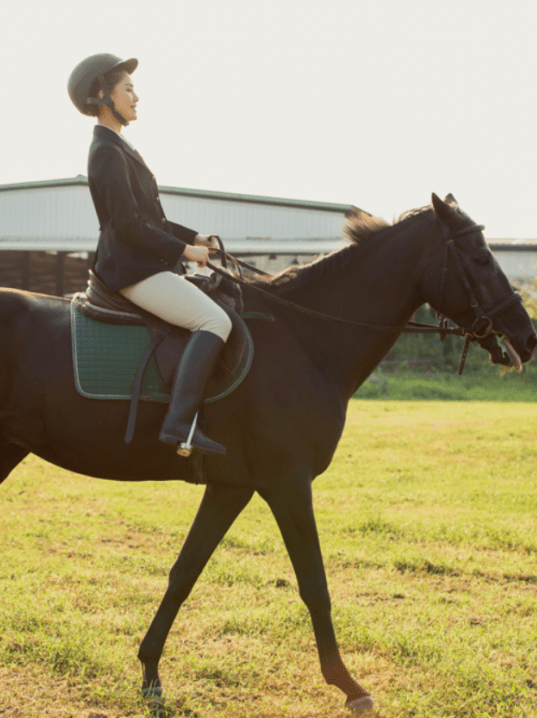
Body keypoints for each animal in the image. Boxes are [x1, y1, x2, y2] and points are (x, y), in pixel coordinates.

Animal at [0, 193, 535, 714]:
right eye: (480, 257)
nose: (527, 337)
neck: (305, 338)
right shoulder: (288, 482)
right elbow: (314, 583)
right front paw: (349, 686)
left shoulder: (231, 486)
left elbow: (184, 573)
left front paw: (150, 673)